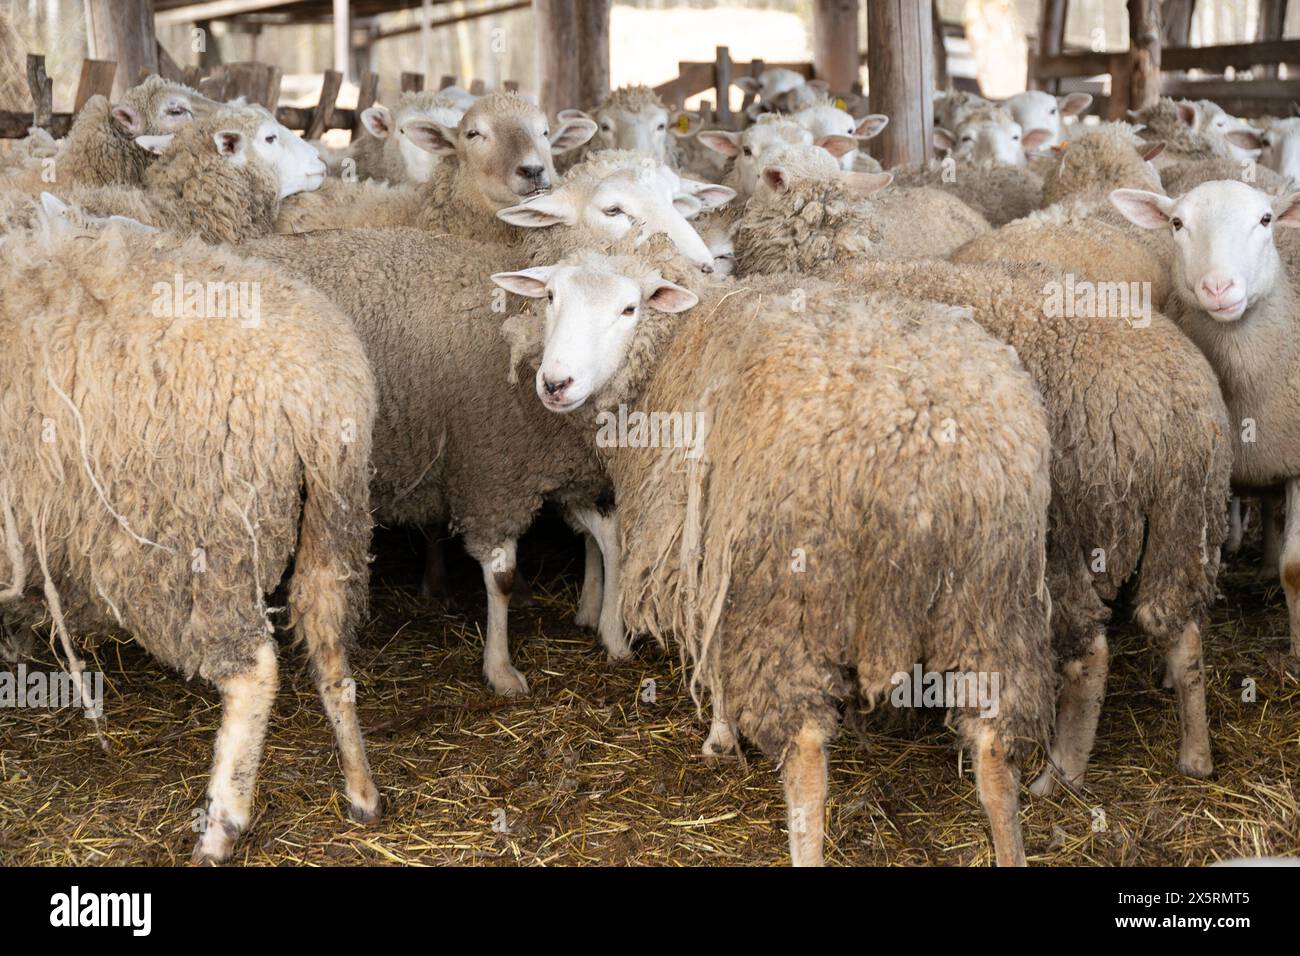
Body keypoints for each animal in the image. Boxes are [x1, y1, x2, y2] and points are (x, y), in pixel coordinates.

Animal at [0, 215, 381, 863]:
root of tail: (315, 390)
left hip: (189, 540)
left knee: (254, 672)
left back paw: (222, 823)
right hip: (335, 521)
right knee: (329, 642)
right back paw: (361, 789)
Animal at [492, 252, 1057, 866]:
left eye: (628, 308)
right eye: (550, 297)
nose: (555, 383)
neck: (675, 338)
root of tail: (922, 446)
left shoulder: (705, 540)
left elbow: (709, 643)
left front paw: (719, 734)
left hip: (793, 596)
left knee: (806, 751)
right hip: (991, 596)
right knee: (994, 746)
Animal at [733, 165, 1233, 789]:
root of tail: (1169, 415)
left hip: (1062, 530)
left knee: (1090, 650)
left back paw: (1060, 773)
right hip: (1187, 517)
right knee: (1177, 627)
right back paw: (1196, 754)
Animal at [1111, 178, 1300, 671]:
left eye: (1266, 219)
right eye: (1177, 223)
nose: (1218, 287)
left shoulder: (1296, 463)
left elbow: (1295, 567)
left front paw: (1296, 656)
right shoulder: (1207, 476)